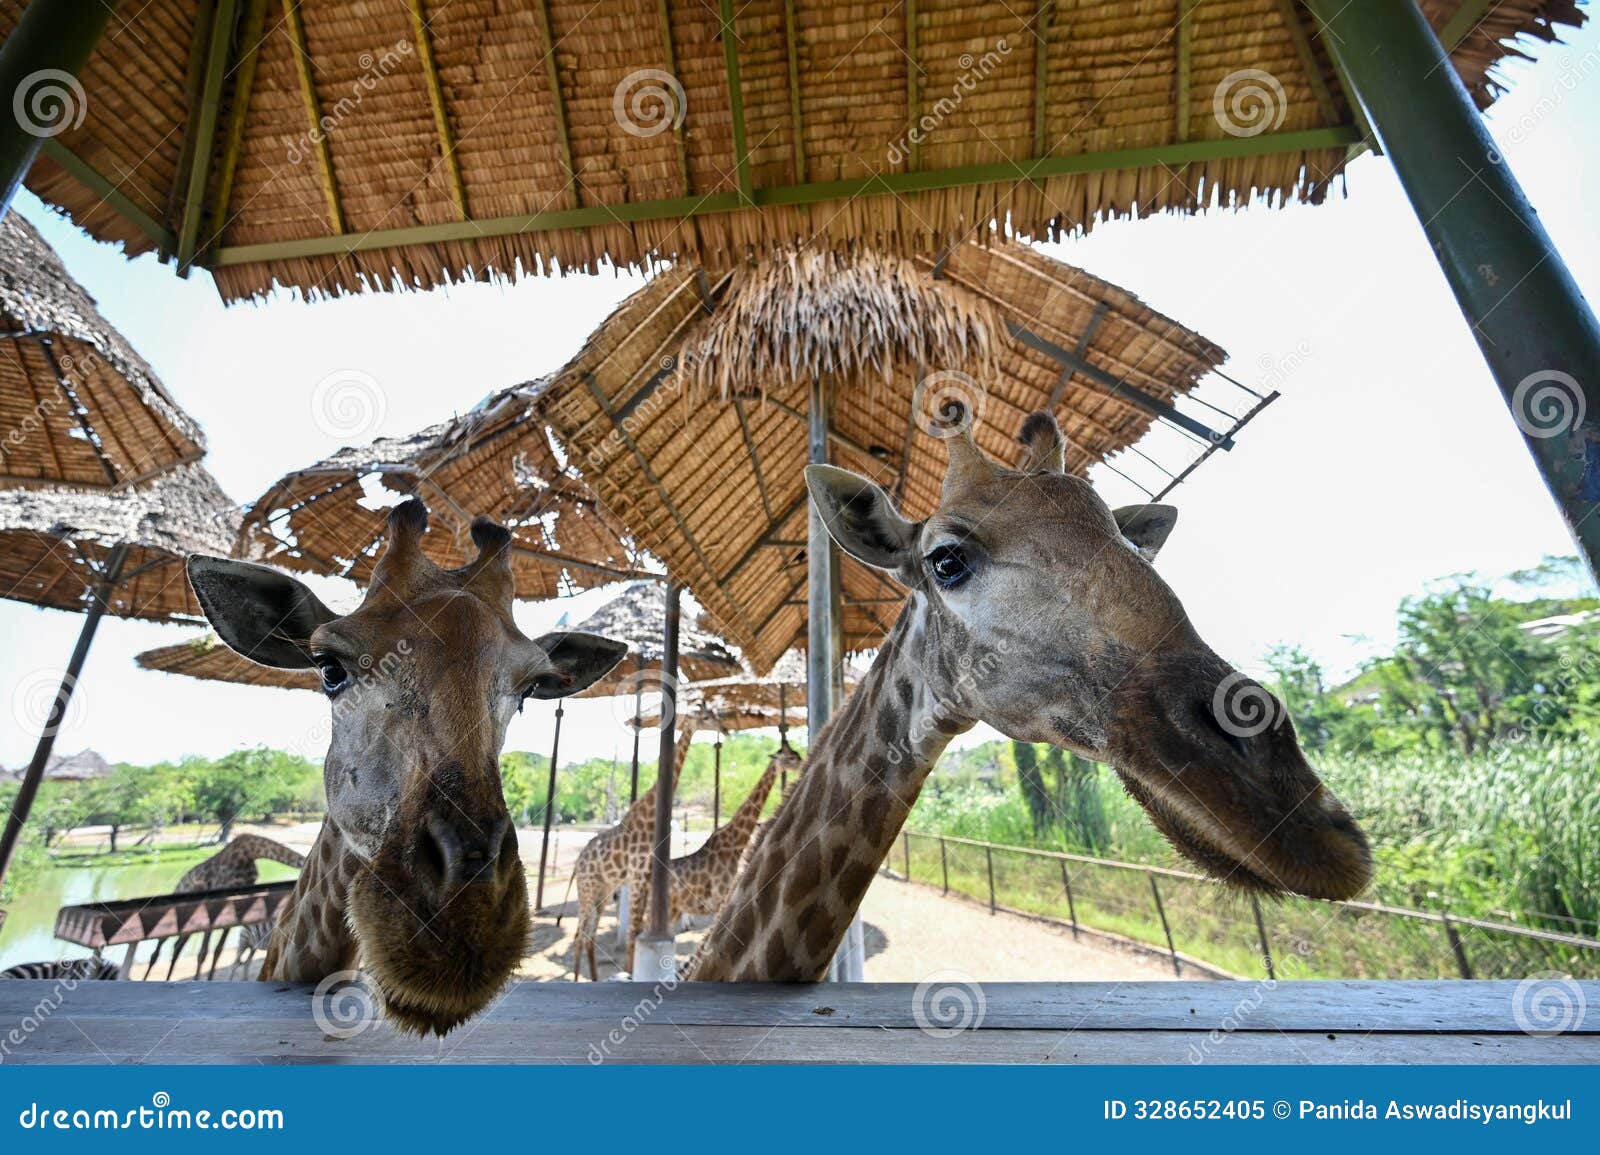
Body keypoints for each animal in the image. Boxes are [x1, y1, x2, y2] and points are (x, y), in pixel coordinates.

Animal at [566, 722, 696, 980]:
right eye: (704, 715)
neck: (650, 819)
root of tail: (577, 865)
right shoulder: (637, 876)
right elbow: (633, 930)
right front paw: (628, 972)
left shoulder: (645, 878)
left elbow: (636, 929)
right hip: (588, 890)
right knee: (580, 936)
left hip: (602, 893)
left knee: (588, 936)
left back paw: (594, 977)